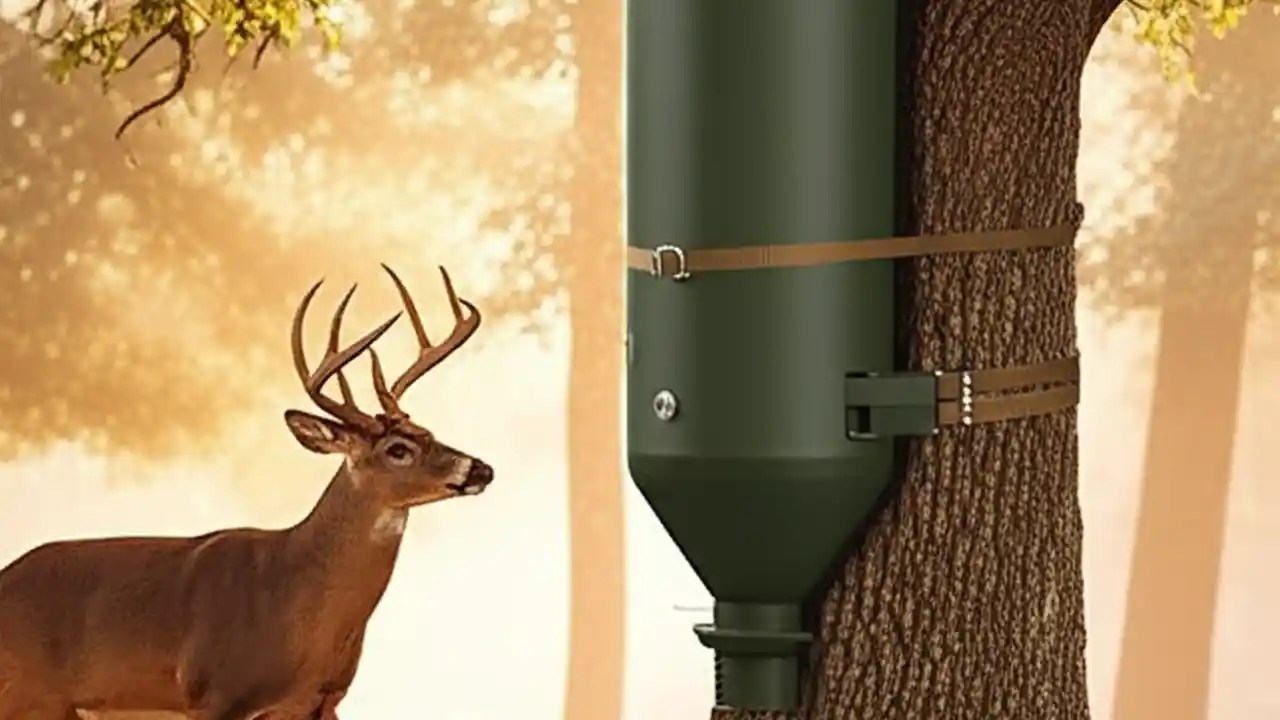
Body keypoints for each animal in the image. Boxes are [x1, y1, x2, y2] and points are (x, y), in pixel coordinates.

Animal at [0, 265, 493, 720]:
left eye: (429, 432)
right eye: (398, 449)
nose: (482, 469)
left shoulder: (320, 703)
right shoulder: (216, 695)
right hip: (31, 697)